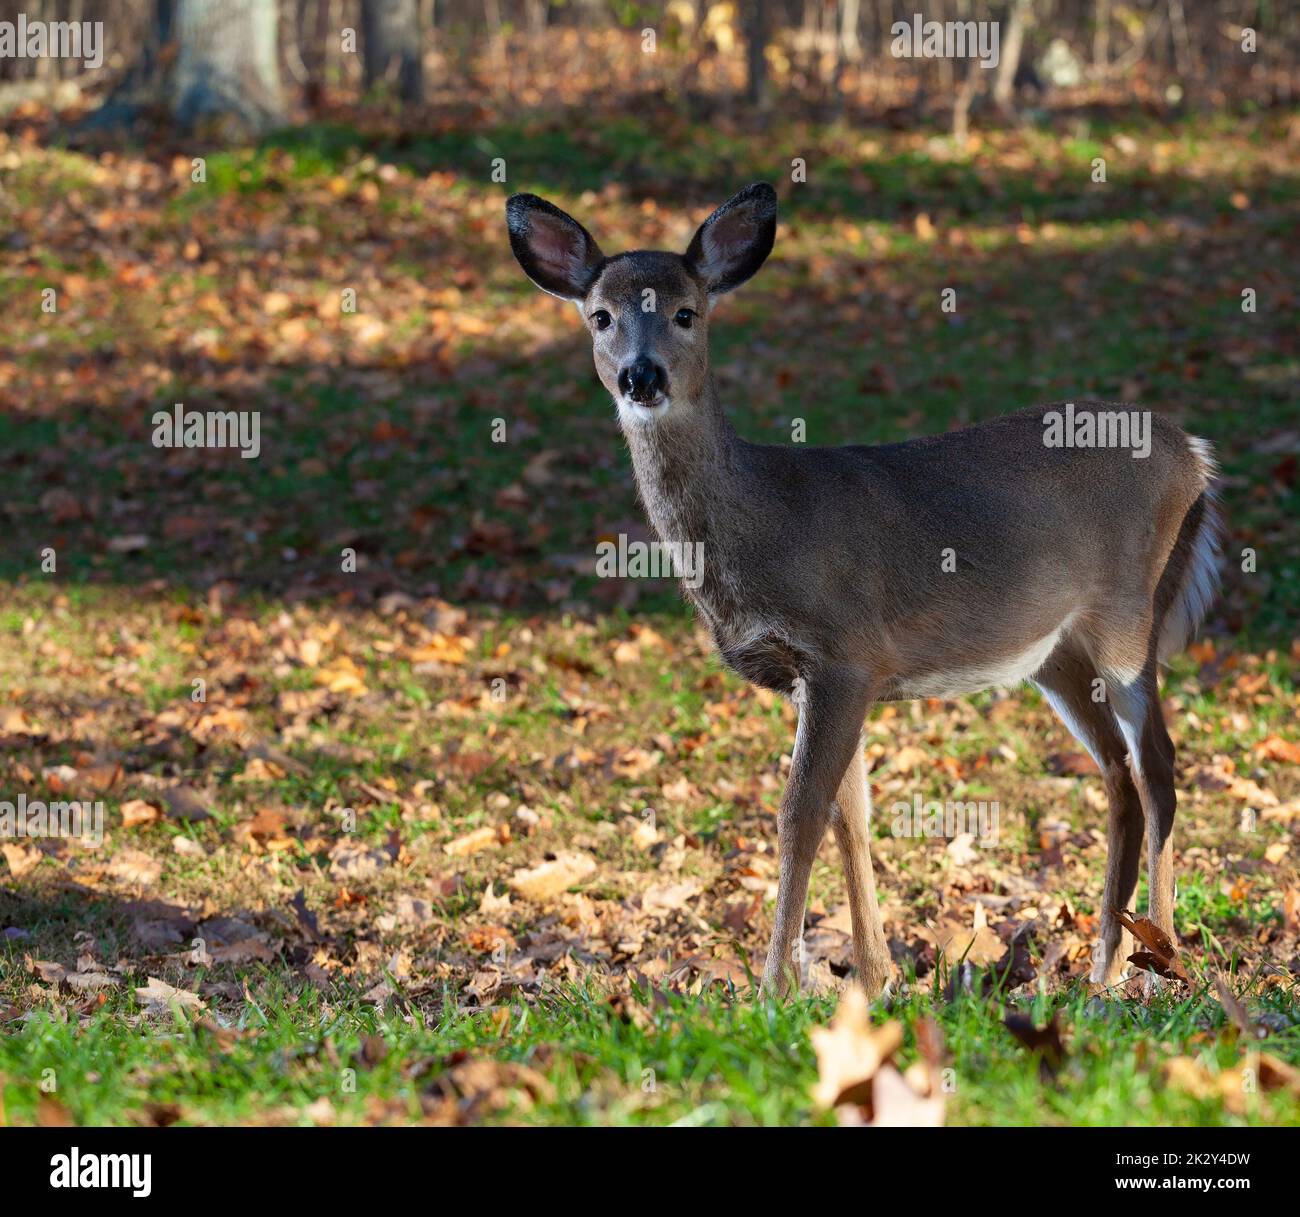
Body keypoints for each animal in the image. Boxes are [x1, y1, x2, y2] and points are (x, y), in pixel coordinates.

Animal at [505, 183, 1222, 1000]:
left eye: (688, 311)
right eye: (601, 316)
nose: (641, 376)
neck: (764, 516)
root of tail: (1195, 455)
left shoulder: (844, 653)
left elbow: (800, 814)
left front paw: (777, 985)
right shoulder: (816, 677)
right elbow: (852, 815)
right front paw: (875, 977)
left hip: (1127, 611)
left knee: (1158, 762)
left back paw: (1160, 962)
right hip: (1057, 654)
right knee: (1118, 773)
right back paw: (1103, 968)